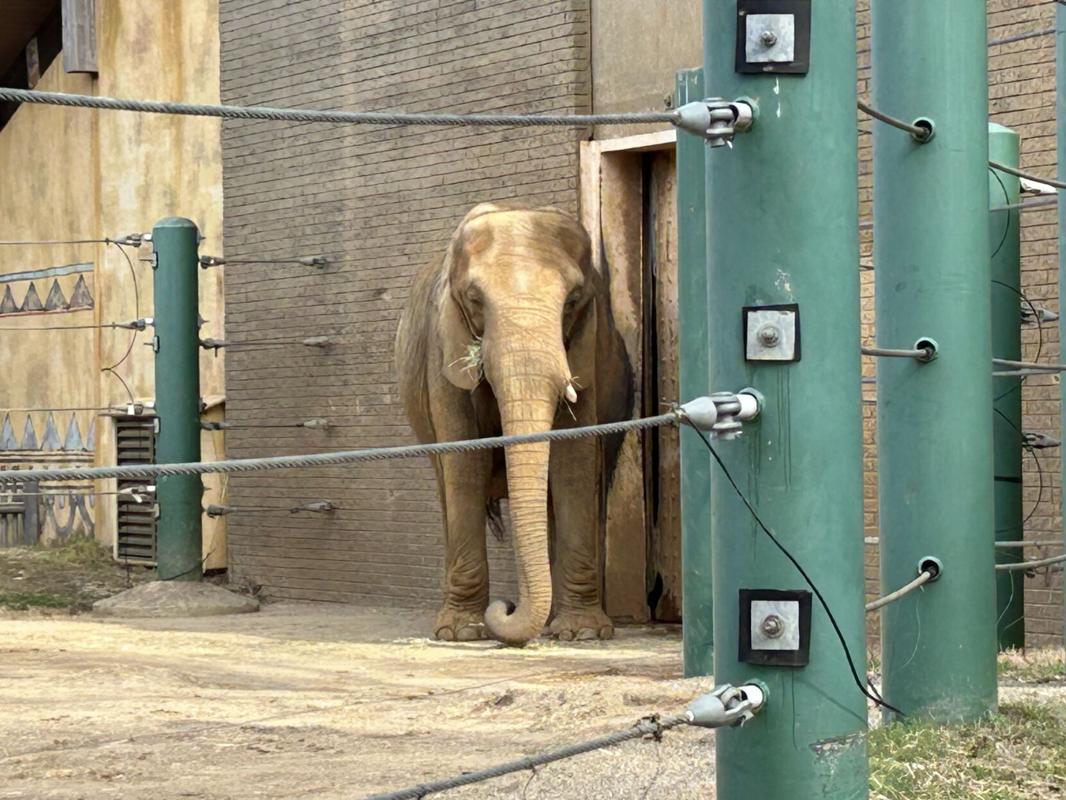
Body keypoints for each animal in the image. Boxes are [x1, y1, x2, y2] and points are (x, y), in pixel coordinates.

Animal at [395, 203, 633, 646]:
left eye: (573, 301)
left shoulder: (587, 346)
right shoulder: (442, 349)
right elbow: (464, 465)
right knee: (446, 485)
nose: (504, 607)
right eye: (474, 299)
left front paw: (582, 633)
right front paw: (460, 632)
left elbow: (573, 463)